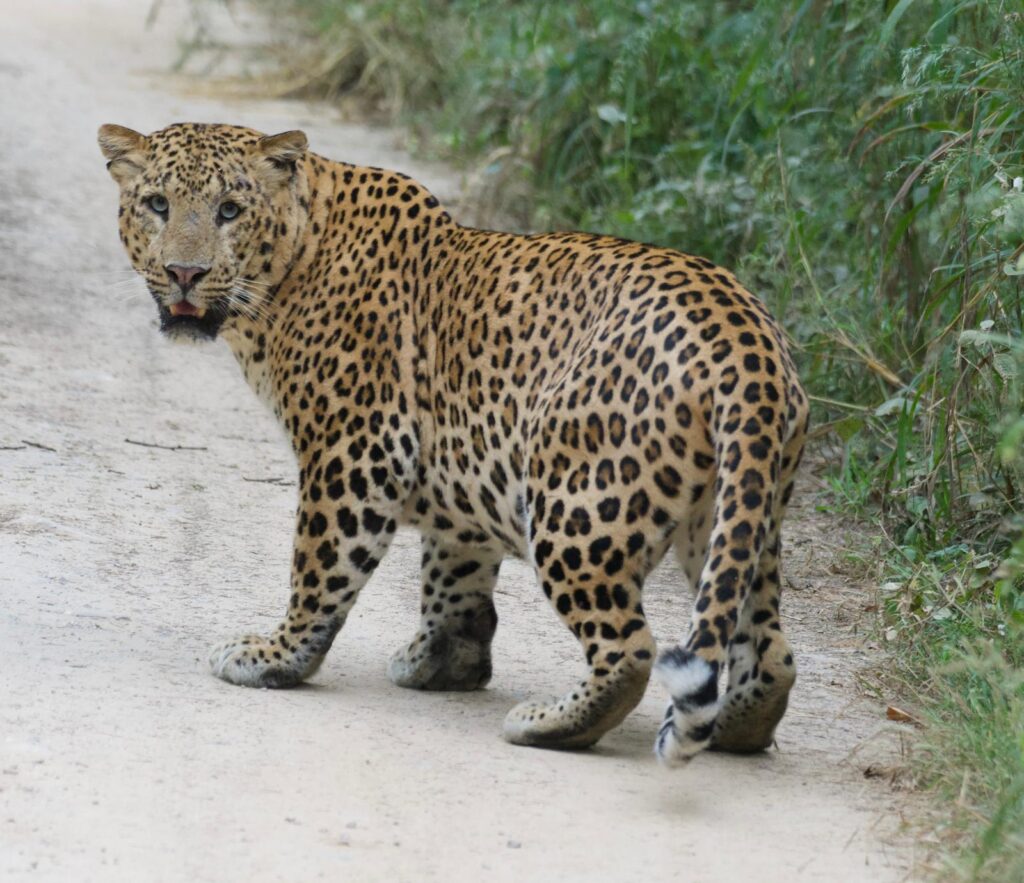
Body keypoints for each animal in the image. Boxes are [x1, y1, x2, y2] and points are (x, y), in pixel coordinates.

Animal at [98, 122, 809, 765]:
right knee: (769, 649)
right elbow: (455, 575)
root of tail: (744, 341)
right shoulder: (458, 472)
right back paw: (736, 729)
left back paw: (549, 724)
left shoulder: (354, 449)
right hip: (733, 518)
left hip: (576, 505)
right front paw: (444, 662)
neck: (290, 267)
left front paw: (276, 657)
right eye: (158, 204)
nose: (184, 273)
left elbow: (319, 565)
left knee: (631, 648)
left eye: (230, 210)